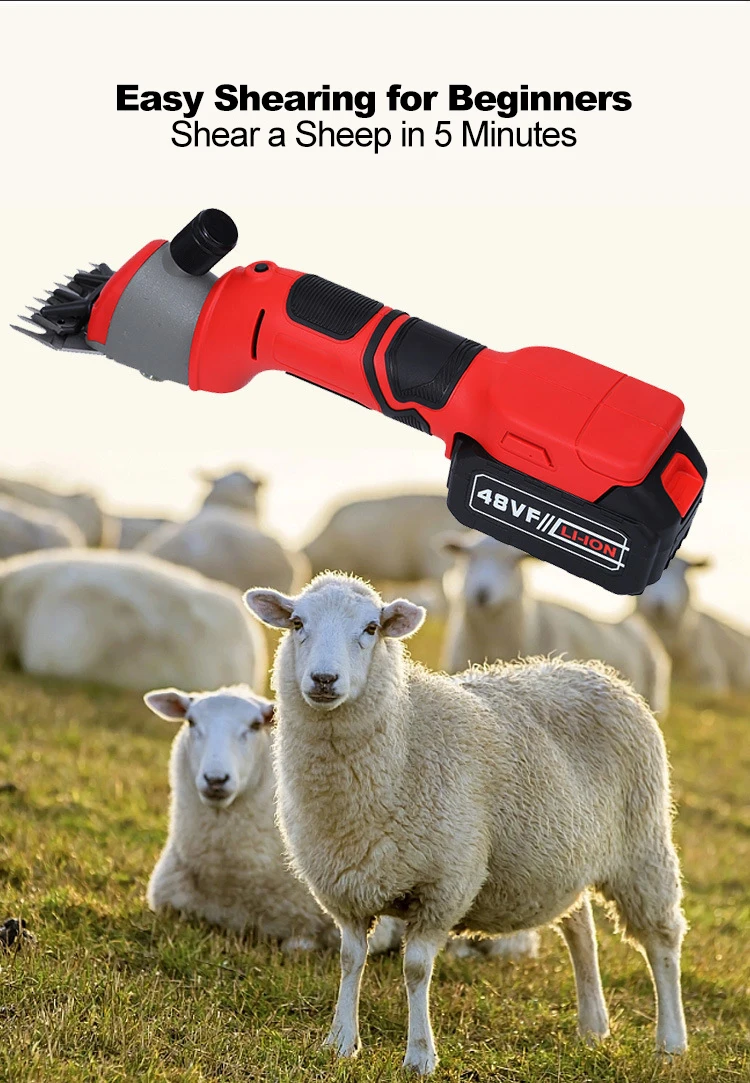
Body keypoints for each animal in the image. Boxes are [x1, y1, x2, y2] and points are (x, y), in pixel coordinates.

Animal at [144, 684, 403, 954]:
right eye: (191, 721)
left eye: (256, 725)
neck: (231, 883)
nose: (215, 780)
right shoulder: (169, 905)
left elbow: (298, 946)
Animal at [244, 573, 687, 1074]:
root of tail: (598, 673)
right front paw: (340, 1042)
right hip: (566, 858)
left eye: (372, 628)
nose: (323, 679)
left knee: (662, 941)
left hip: (643, 847)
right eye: (298, 623)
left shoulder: (444, 883)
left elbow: (416, 968)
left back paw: (671, 1041)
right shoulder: (345, 888)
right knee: (582, 932)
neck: (406, 734)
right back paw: (593, 1026)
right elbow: (349, 959)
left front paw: (419, 1056)